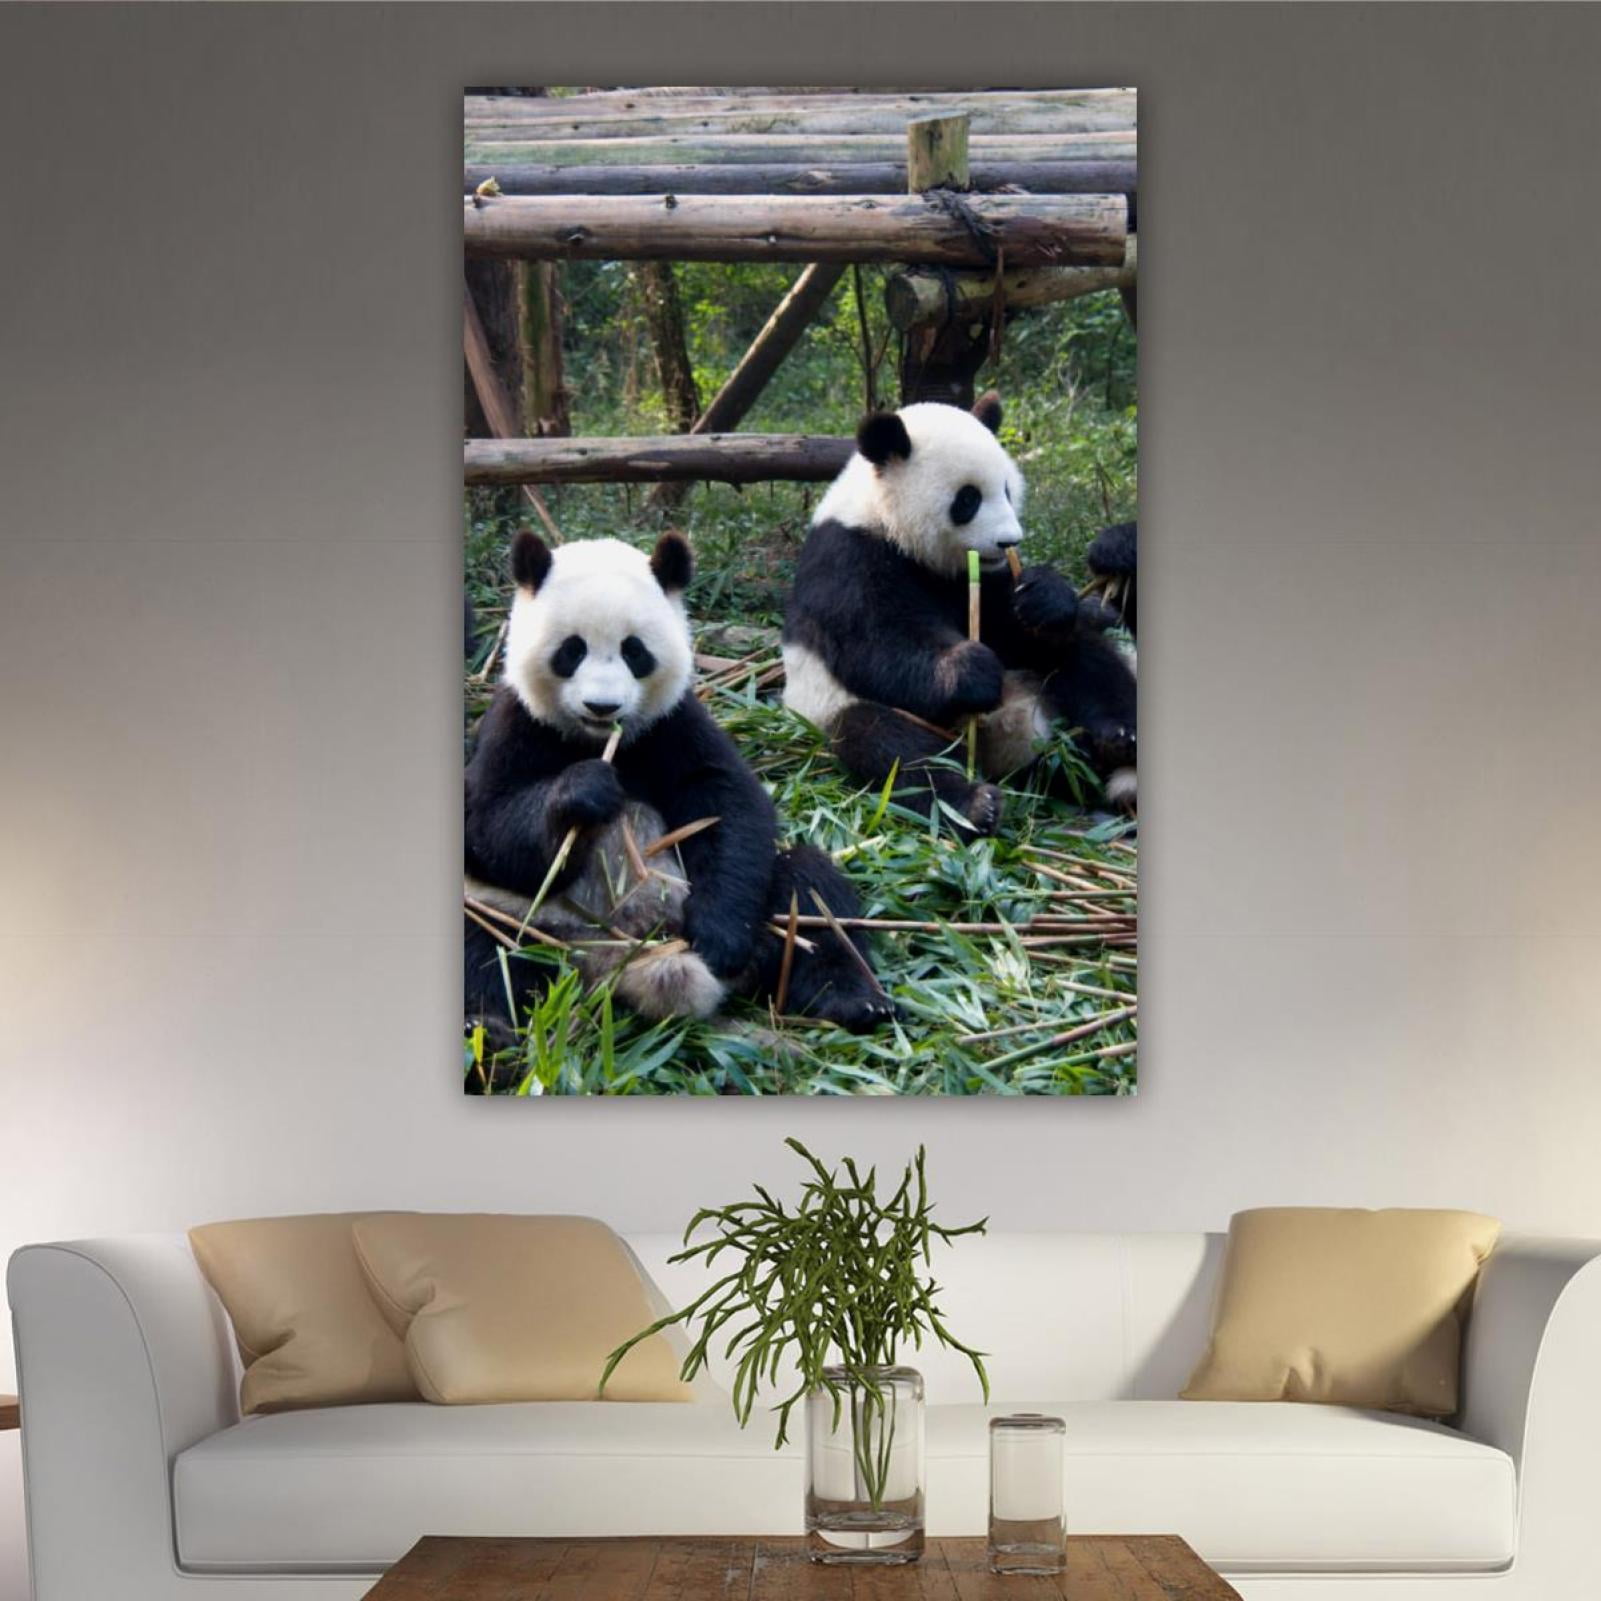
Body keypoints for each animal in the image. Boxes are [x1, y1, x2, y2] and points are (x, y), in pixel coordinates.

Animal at [465, 528, 894, 1042]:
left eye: (634, 651)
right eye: (572, 650)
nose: (603, 707)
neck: (597, 740)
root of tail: (628, 961)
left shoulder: (673, 722)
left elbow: (725, 801)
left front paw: (718, 937)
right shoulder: (515, 723)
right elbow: (489, 828)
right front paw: (585, 793)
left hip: (770, 914)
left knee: (810, 892)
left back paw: (853, 1000)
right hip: (539, 927)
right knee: (484, 942)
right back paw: (491, 1032)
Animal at [781, 393, 1137, 832]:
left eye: (1007, 490)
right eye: (968, 498)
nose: (1009, 541)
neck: (884, 517)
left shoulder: (984, 579)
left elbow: (1019, 629)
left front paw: (1044, 598)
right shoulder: (847, 558)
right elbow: (875, 644)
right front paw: (971, 671)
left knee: (1084, 655)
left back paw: (1116, 737)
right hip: (830, 707)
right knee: (888, 745)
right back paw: (974, 803)